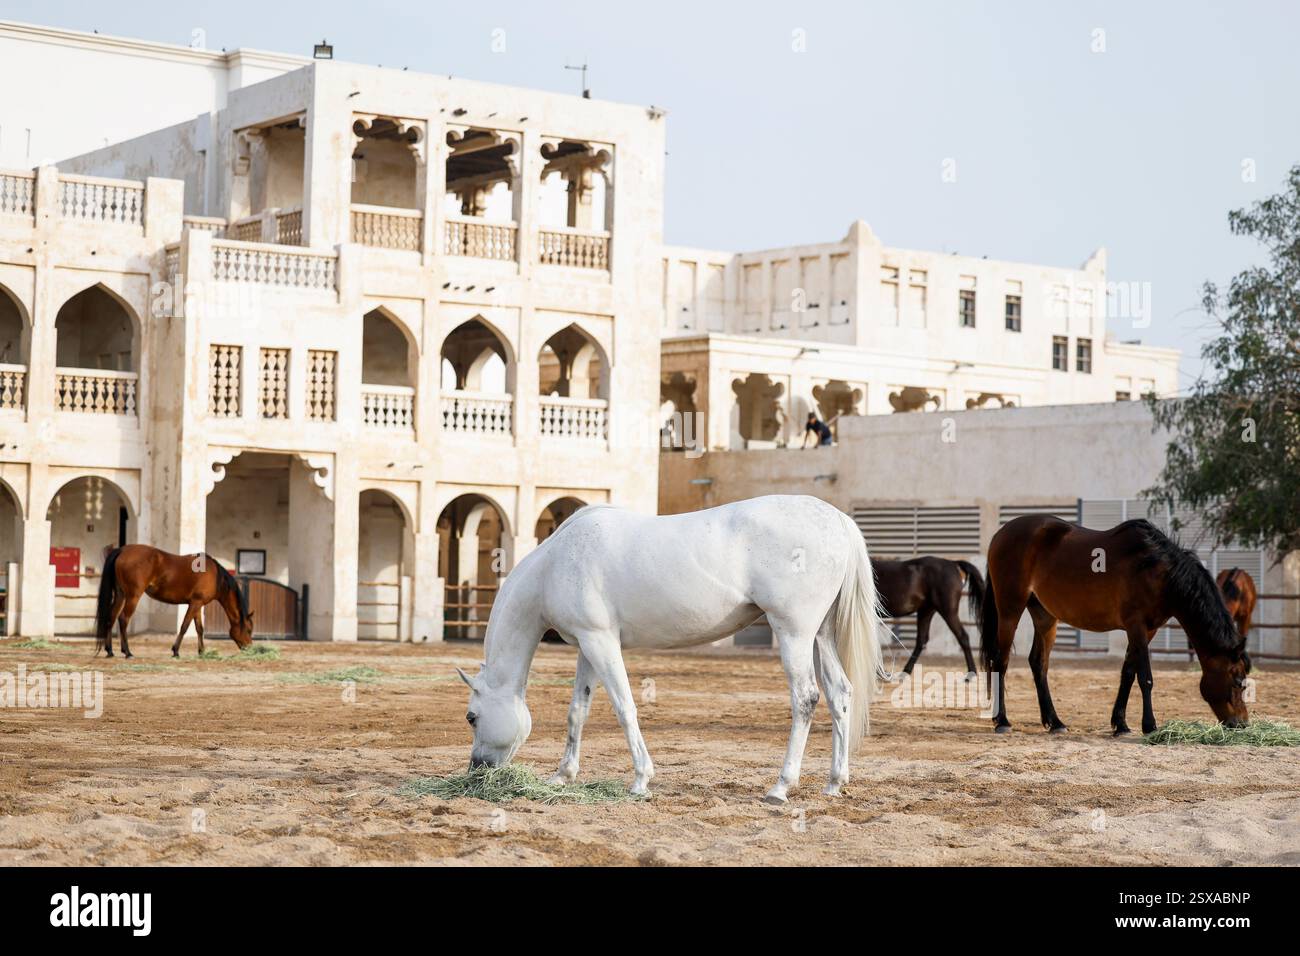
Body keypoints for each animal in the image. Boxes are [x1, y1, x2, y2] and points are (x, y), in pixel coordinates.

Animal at [94, 545, 254, 658]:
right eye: (248, 629)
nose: (249, 648)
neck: (215, 576)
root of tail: (122, 550)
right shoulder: (195, 604)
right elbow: (184, 626)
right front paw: (176, 650)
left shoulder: (197, 604)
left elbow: (199, 629)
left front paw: (202, 651)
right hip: (133, 596)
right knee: (123, 619)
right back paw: (127, 652)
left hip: (120, 595)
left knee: (111, 618)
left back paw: (110, 651)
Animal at [456, 495, 888, 802]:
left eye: (471, 717)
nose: (477, 769)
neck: (555, 563)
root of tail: (837, 520)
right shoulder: (589, 645)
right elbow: (578, 711)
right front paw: (563, 775)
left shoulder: (601, 642)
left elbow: (624, 707)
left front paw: (640, 780)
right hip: (821, 636)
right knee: (839, 694)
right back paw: (834, 783)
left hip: (794, 633)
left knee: (806, 698)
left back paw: (781, 787)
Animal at [979, 515, 1250, 736]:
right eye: (1238, 682)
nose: (1242, 724)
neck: (1158, 571)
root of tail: (1000, 534)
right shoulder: (1136, 625)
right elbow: (1145, 677)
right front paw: (1149, 725)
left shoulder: (1147, 630)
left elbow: (1128, 673)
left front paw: (1120, 724)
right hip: (1010, 609)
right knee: (1000, 662)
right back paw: (1002, 721)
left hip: (1045, 615)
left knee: (1039, 663)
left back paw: (1055, 722)